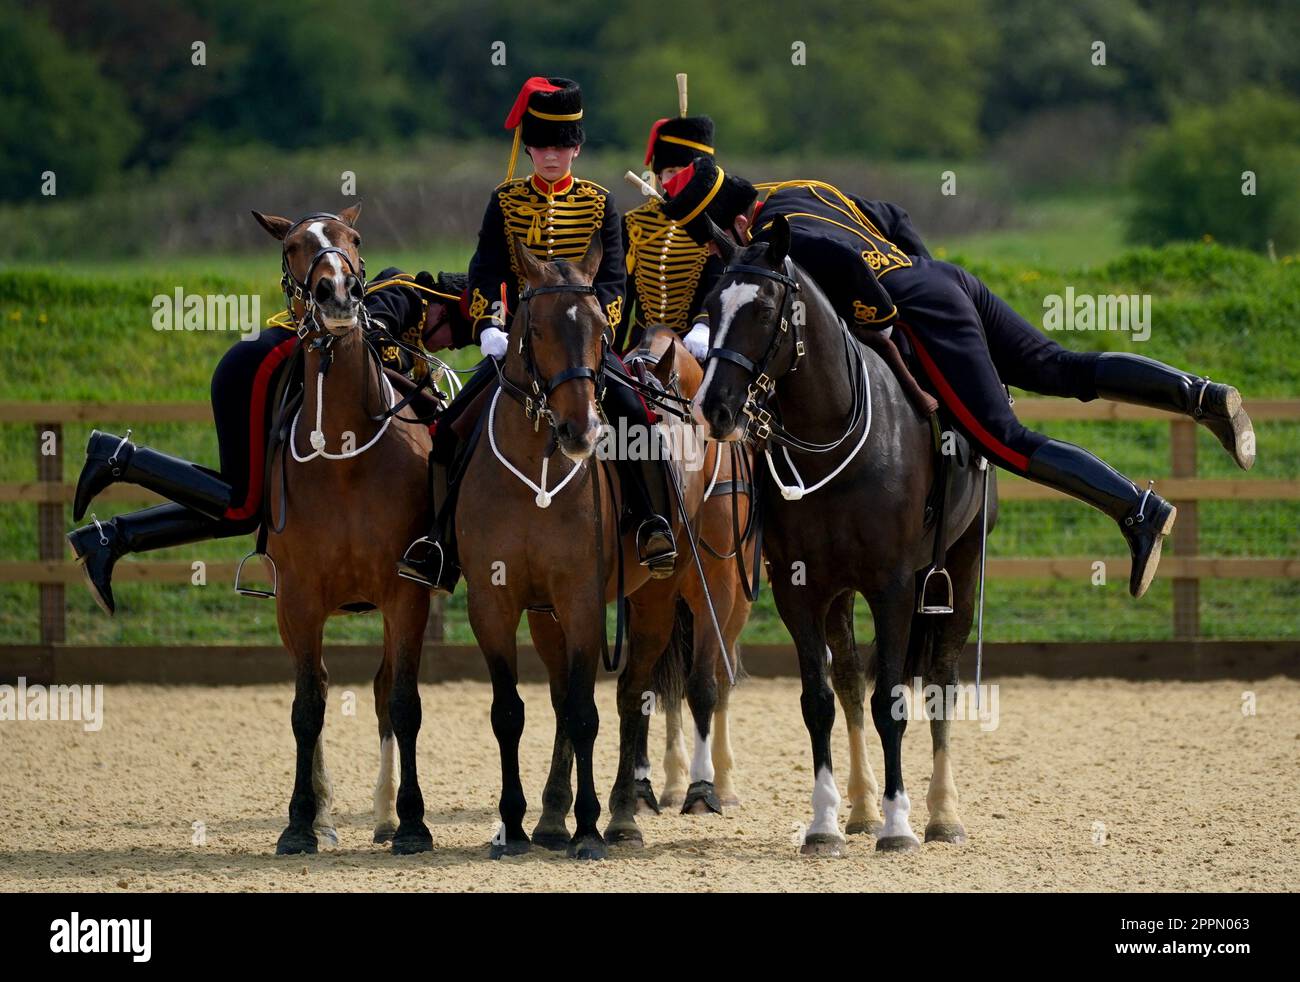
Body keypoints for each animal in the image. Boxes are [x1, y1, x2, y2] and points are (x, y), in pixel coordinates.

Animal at [250, 206, 435, 855]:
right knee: (323, 688)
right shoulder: (300, 599)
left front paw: (412, 821)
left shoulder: (407, 592)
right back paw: (325, 815)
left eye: (353, 238)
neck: (347, 455)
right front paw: (300, 820)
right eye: (294, 246)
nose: (337, 292)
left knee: (381, 691)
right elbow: (308, 706)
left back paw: (384, 815)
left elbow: (401, 701)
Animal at [455, 236, 740, 858]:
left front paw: (588, 827)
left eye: (600, 332)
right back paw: (551, 816)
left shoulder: (581, 599)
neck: (536, 473)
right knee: (568, 698)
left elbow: (588, 712)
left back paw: (623, 814)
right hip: (556, 614)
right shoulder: (495, 603)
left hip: (672, 590)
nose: (581, 431)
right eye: (534, 329)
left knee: (633, 693)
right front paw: (515, 824)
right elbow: (512, 712)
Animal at [695, 215, 993, 854]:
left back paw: (941, 815)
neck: (831, 438)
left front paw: (900, 824)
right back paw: (860, 810)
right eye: (711, 305)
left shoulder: (893, 587)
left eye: (763, 309)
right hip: (838, 593)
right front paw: (825, 822)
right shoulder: (800, 591)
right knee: (852, 679)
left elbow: (892, 703)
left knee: (940, 680)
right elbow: (821, 701)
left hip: (961, 565)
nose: (715, 407)